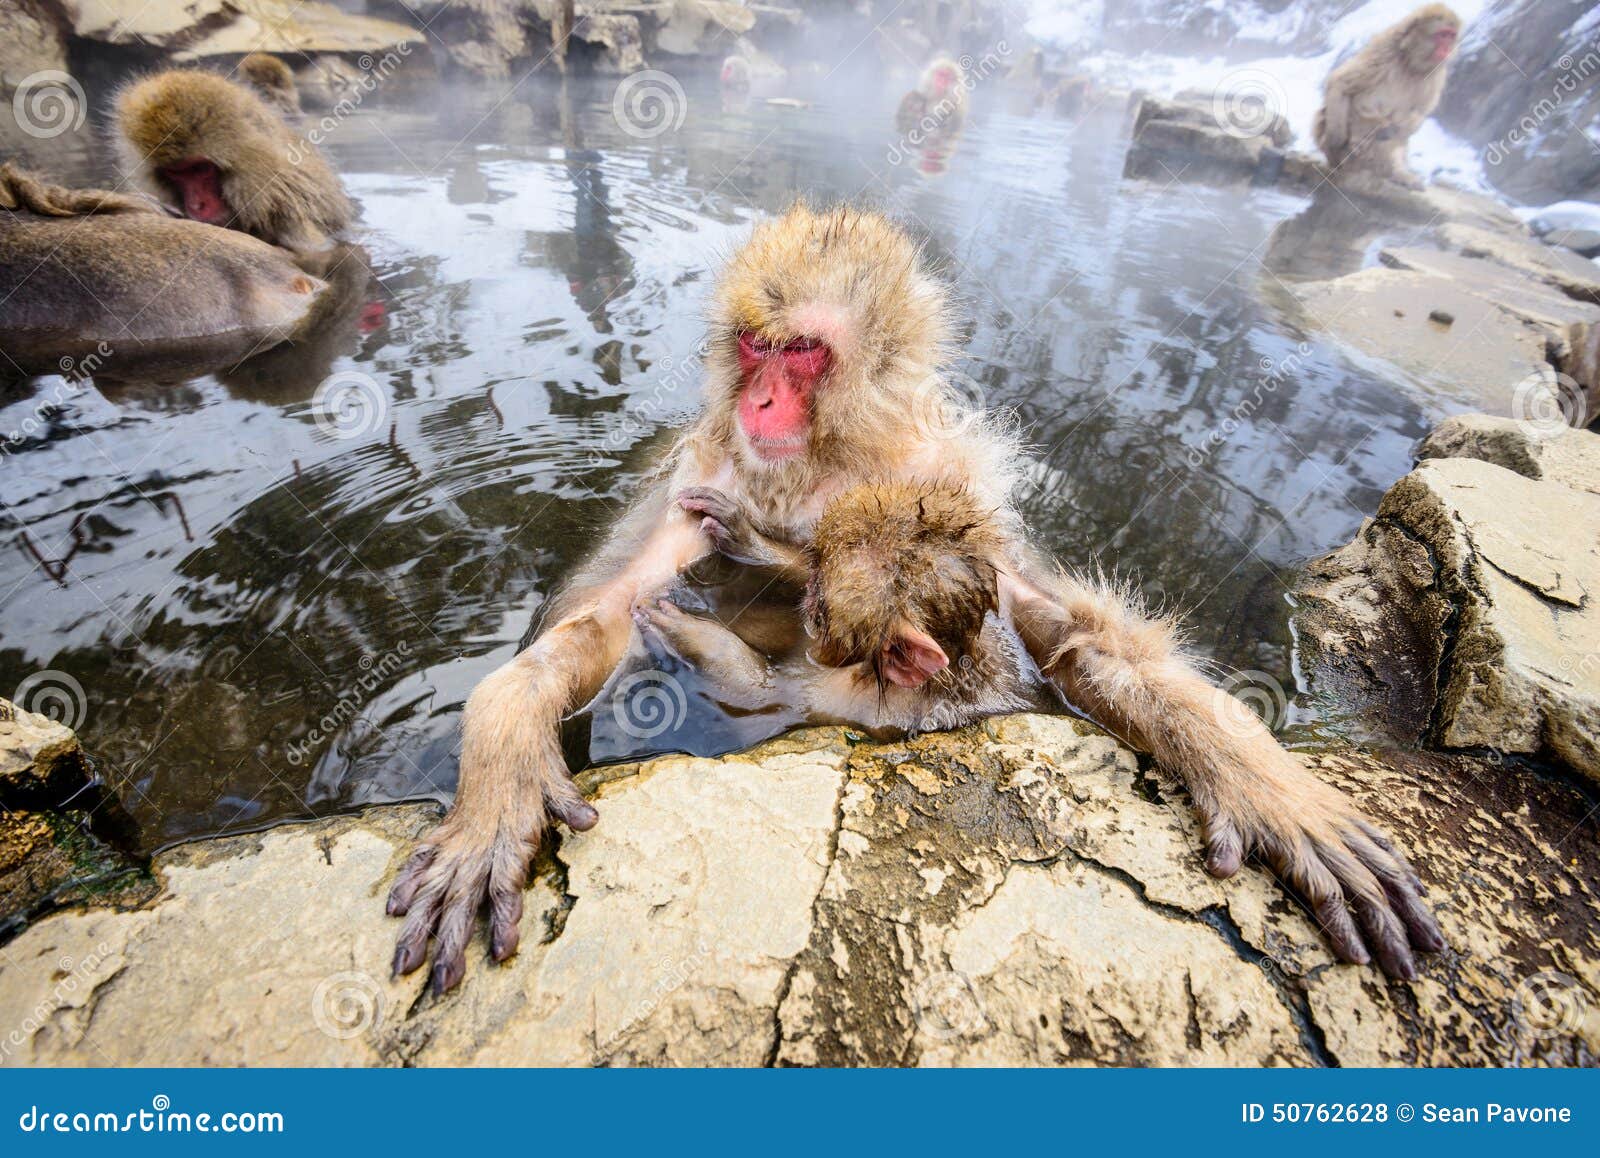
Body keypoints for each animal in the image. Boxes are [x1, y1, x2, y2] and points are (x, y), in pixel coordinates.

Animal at [635, 481, 1043, 735]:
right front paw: (745, 535)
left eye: (823, 604)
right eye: (817, 573)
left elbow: (769, 702)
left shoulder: (848, 704)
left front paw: (695, 637)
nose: (811, 593)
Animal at [1313, 4, 1461, 191]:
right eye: (1442, 35)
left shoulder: (1436, 74)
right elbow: (1342, 83)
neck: (1410, 61)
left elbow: (1419, 114)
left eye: (1451, 36)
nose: (1447, 49)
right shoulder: (1384, 49)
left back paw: (1397, 171)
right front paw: (1334, 140)